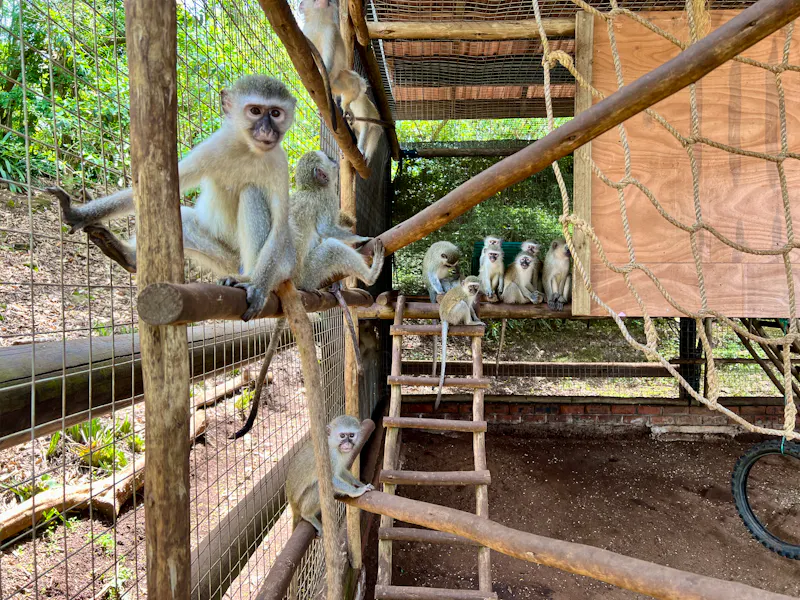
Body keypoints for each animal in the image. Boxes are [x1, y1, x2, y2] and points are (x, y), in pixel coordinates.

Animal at [49, 75, 297, 322]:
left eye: (276, 113)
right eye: (255, 111)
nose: (267, 132)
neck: (248, 150)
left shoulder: (280, 164)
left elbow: (280, 230)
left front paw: (258, 287)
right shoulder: (212, 147)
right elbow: (150, 188)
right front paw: (77, 214)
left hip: (252, 263)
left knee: (252, 193)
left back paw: (249, 278)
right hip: (226, 258)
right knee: (187, 222)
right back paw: (128, 256)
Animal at [435, 276, 483, 410]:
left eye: (476, 286)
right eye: (470, 286)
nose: (474, 290)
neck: (466, 291)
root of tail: (444, 318)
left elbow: (471, 308)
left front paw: (476, 316)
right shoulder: (466, 297)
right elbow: (466, 305)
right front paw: (473, 320)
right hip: (453, 315)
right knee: (462, 305)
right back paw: (469, 323)